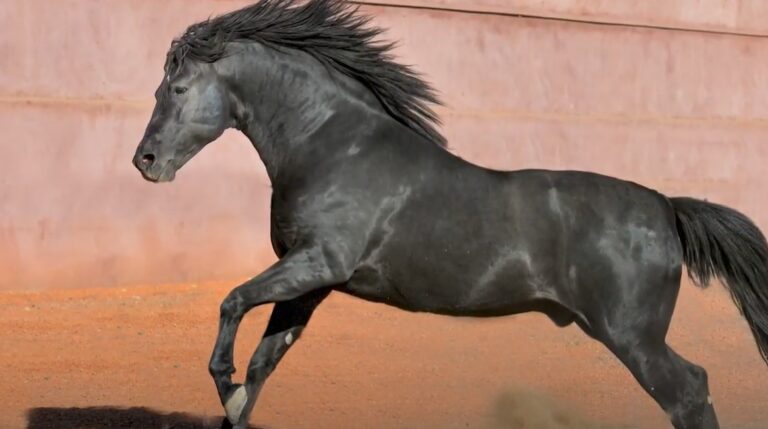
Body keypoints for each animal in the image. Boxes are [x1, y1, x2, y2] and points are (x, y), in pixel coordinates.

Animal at [132, 1, 768, 428]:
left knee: (688, 391)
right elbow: (264, 362)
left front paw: (224, 382)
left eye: (178, 88)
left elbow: (232, 304)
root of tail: (665, 207)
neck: (334, 145)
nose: (146, 161)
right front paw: (236, 398)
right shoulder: (310, 279)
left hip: (631, 333)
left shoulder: (316, 263)